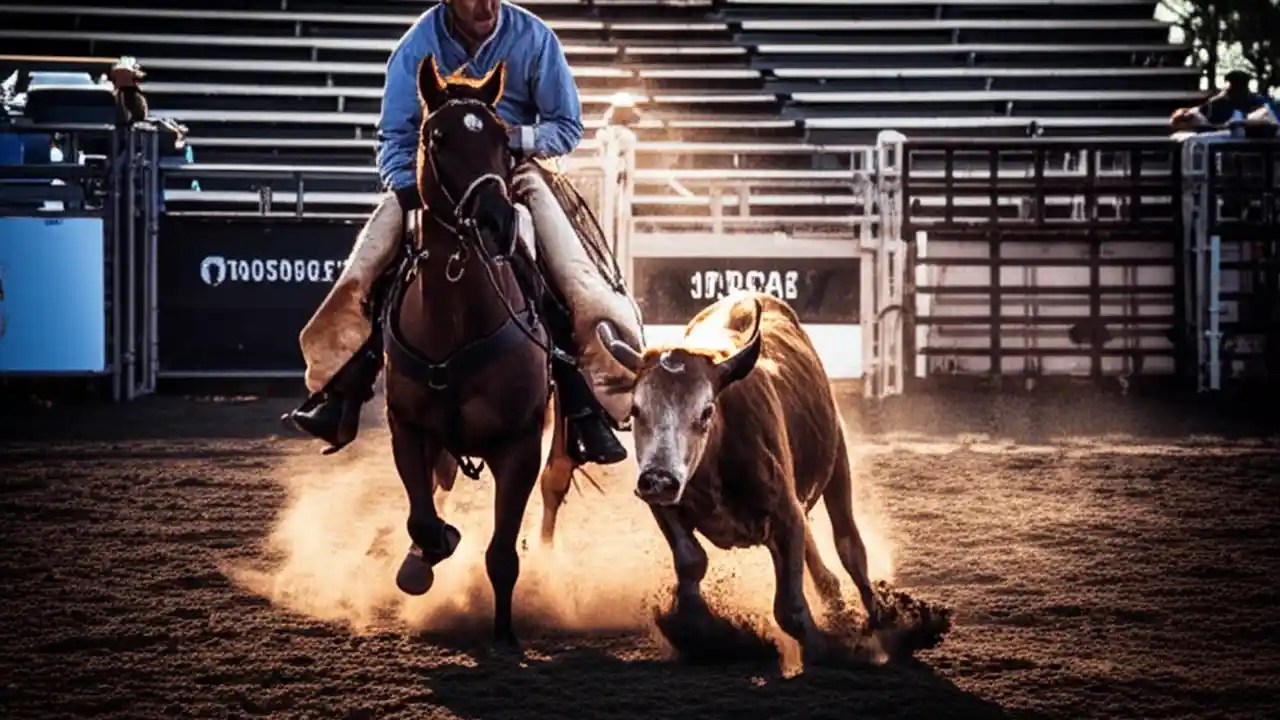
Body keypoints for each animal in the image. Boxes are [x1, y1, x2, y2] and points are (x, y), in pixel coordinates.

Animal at [380, 55, 582, 647]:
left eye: (501, 139)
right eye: (438, 137)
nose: (496, 220)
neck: (456, 320)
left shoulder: (519, 445)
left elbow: (501, 554)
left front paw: (505, 635)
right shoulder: (407, 428)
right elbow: (423, 518)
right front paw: (428, 554)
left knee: (554, 486)